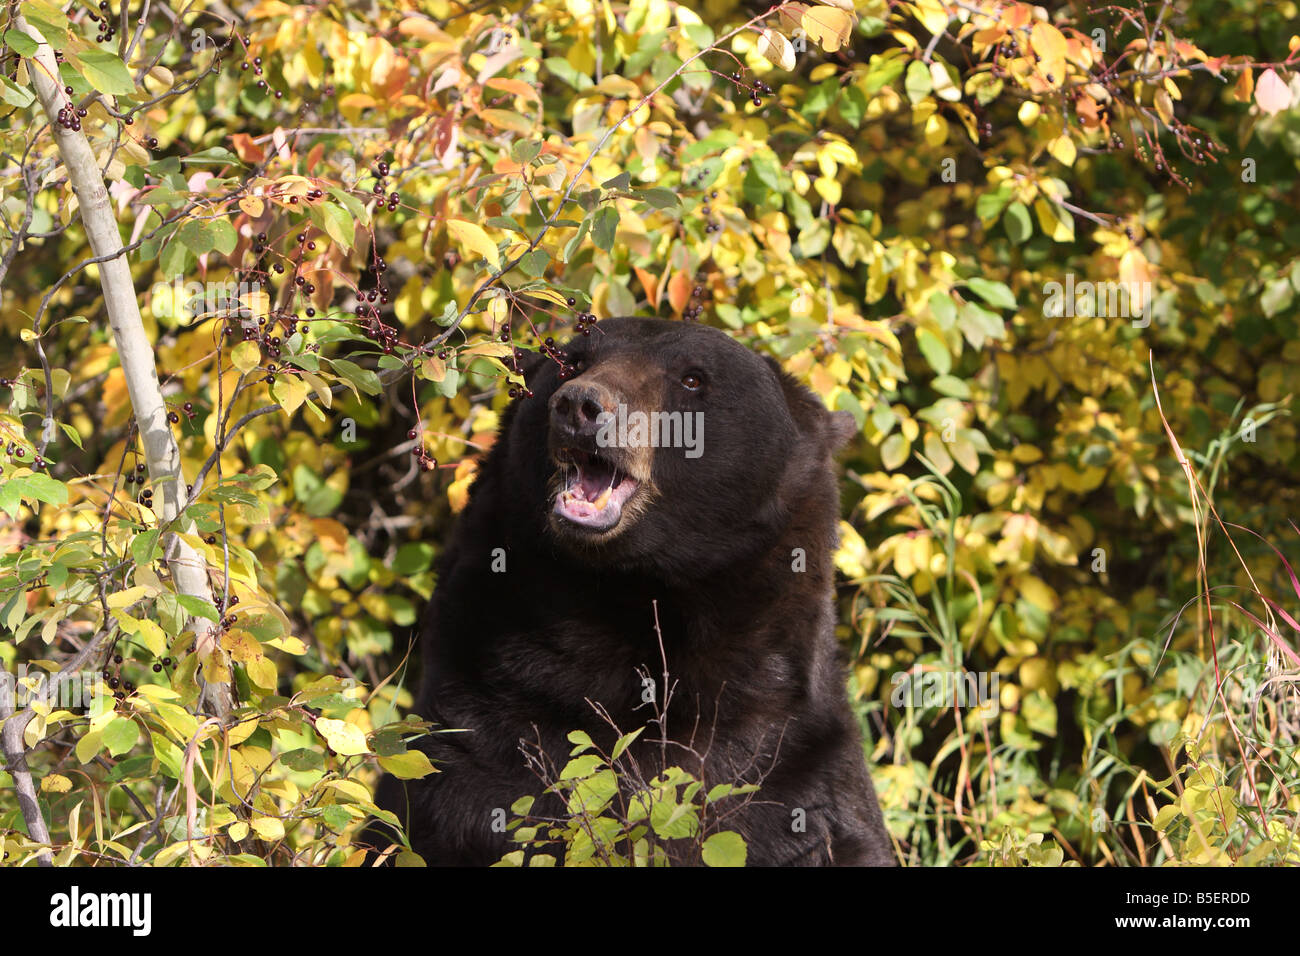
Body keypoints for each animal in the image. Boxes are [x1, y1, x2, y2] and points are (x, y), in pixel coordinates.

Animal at [372, 317, 894, 866]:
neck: (634, 595)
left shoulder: (793, 752)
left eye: (693, 379)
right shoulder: (482, 714)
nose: (579, 406)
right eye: (573, 361)